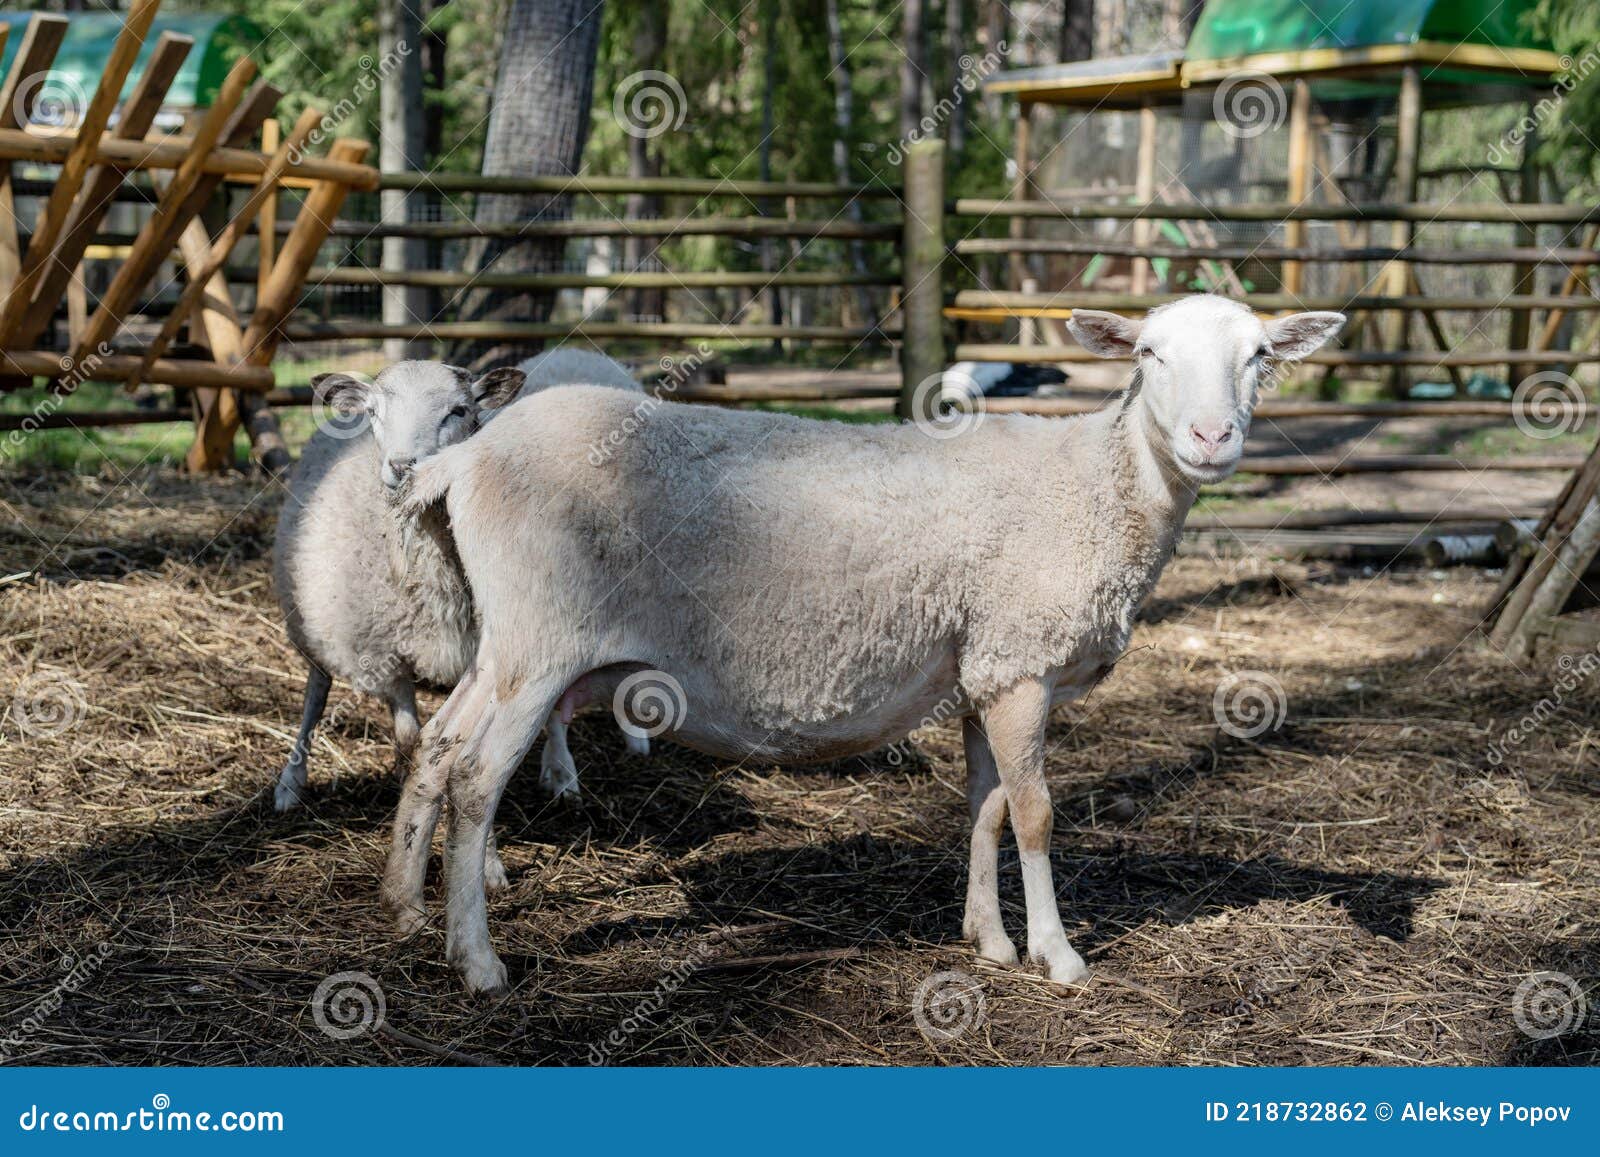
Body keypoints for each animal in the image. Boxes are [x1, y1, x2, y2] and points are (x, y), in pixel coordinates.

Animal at [271, 351, 649, 822]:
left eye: (459, 410)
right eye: (374, 411)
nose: (403, 466)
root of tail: (582, 354)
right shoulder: (385, 653)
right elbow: (411, 741)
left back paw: (597, 754)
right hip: (310, 612)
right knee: (315, 693)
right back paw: (290, 781)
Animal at [384, 296, 1344, 994]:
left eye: (1259, 355)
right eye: (1148, 354)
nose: (1212, 438)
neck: (1098, 487)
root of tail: (461, 462)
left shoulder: (982, 665)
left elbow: (985, 808)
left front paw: (989, 938)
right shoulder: (1022, 660)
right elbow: (1034, 812)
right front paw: (1058, 955)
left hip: (507, 642)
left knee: (437, 746)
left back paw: (401, 902)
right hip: (541, 637)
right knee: (476, 778)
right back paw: (476, 961)